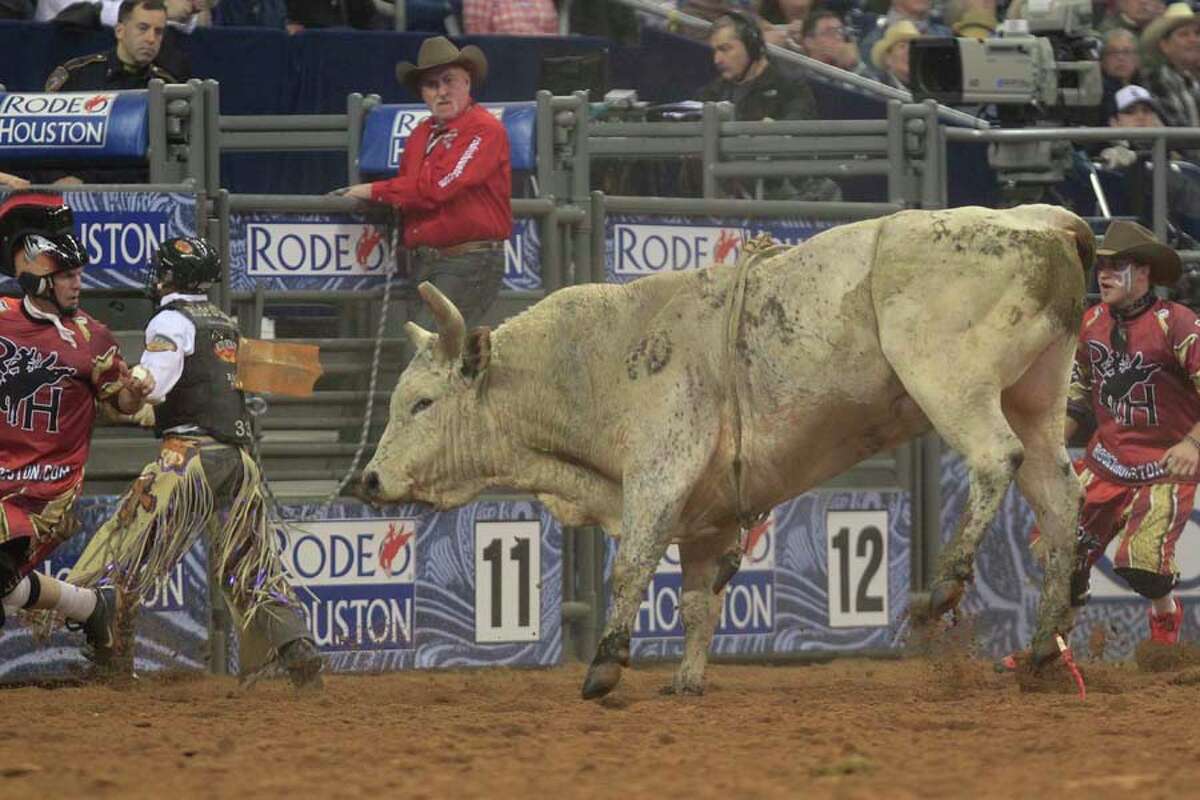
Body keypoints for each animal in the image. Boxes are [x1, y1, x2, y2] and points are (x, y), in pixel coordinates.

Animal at [362, 204, 1092, 700]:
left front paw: (605, 663)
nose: (368, 480)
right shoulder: (707, 518)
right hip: (1036, 399)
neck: (590, 362)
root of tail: (1044, 222)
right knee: (1060, 497)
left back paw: (945, 585)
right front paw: (686, 679)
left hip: (949, 382)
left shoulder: (660, 472)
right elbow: (697, 600)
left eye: (421, 402)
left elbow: (631, 567)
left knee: (995, 459)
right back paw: (1041, 645)